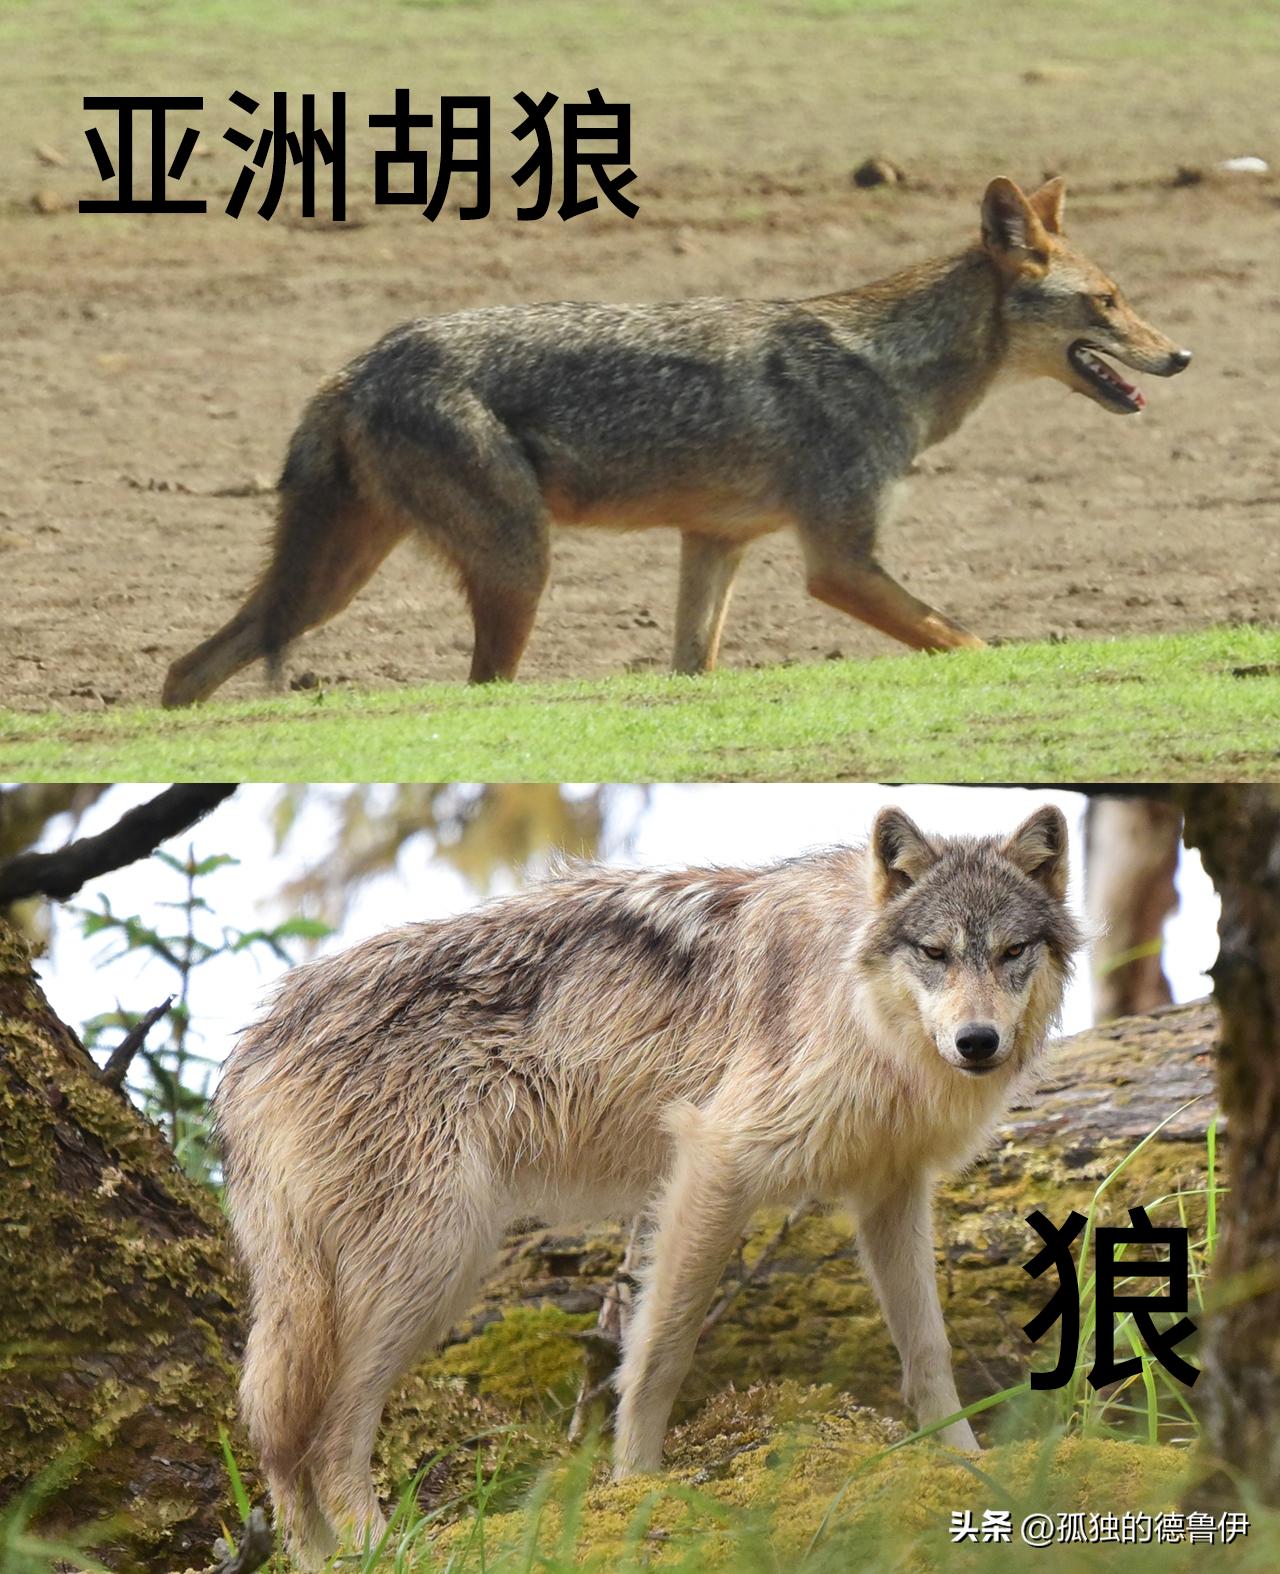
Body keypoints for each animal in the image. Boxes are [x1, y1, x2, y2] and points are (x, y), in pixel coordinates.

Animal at [162, 176, 1190, 706]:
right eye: (1108, 304)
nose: (1181, 354)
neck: (889, 363)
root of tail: (355, 367)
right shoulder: (839, 565)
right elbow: (969, 643)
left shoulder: (716, 545)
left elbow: (694, 665)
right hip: (515, 568)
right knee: (478, 685)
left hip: (336, 583)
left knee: (184, 671)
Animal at [216, 803, 1083, 1565]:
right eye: (934, 953)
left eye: (1012, 952)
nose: (978, 1042)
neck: (858, 1009)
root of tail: (253, 1046)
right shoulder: (714, 1161)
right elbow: (661, 1349)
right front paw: (637, 1484)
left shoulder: (892, 1190)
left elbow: (928, 1351)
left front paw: (967, 1466)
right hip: (430, 1266)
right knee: (323, 1432)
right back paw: (381, 1548)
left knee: (281, 1433)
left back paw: (316, 1558)